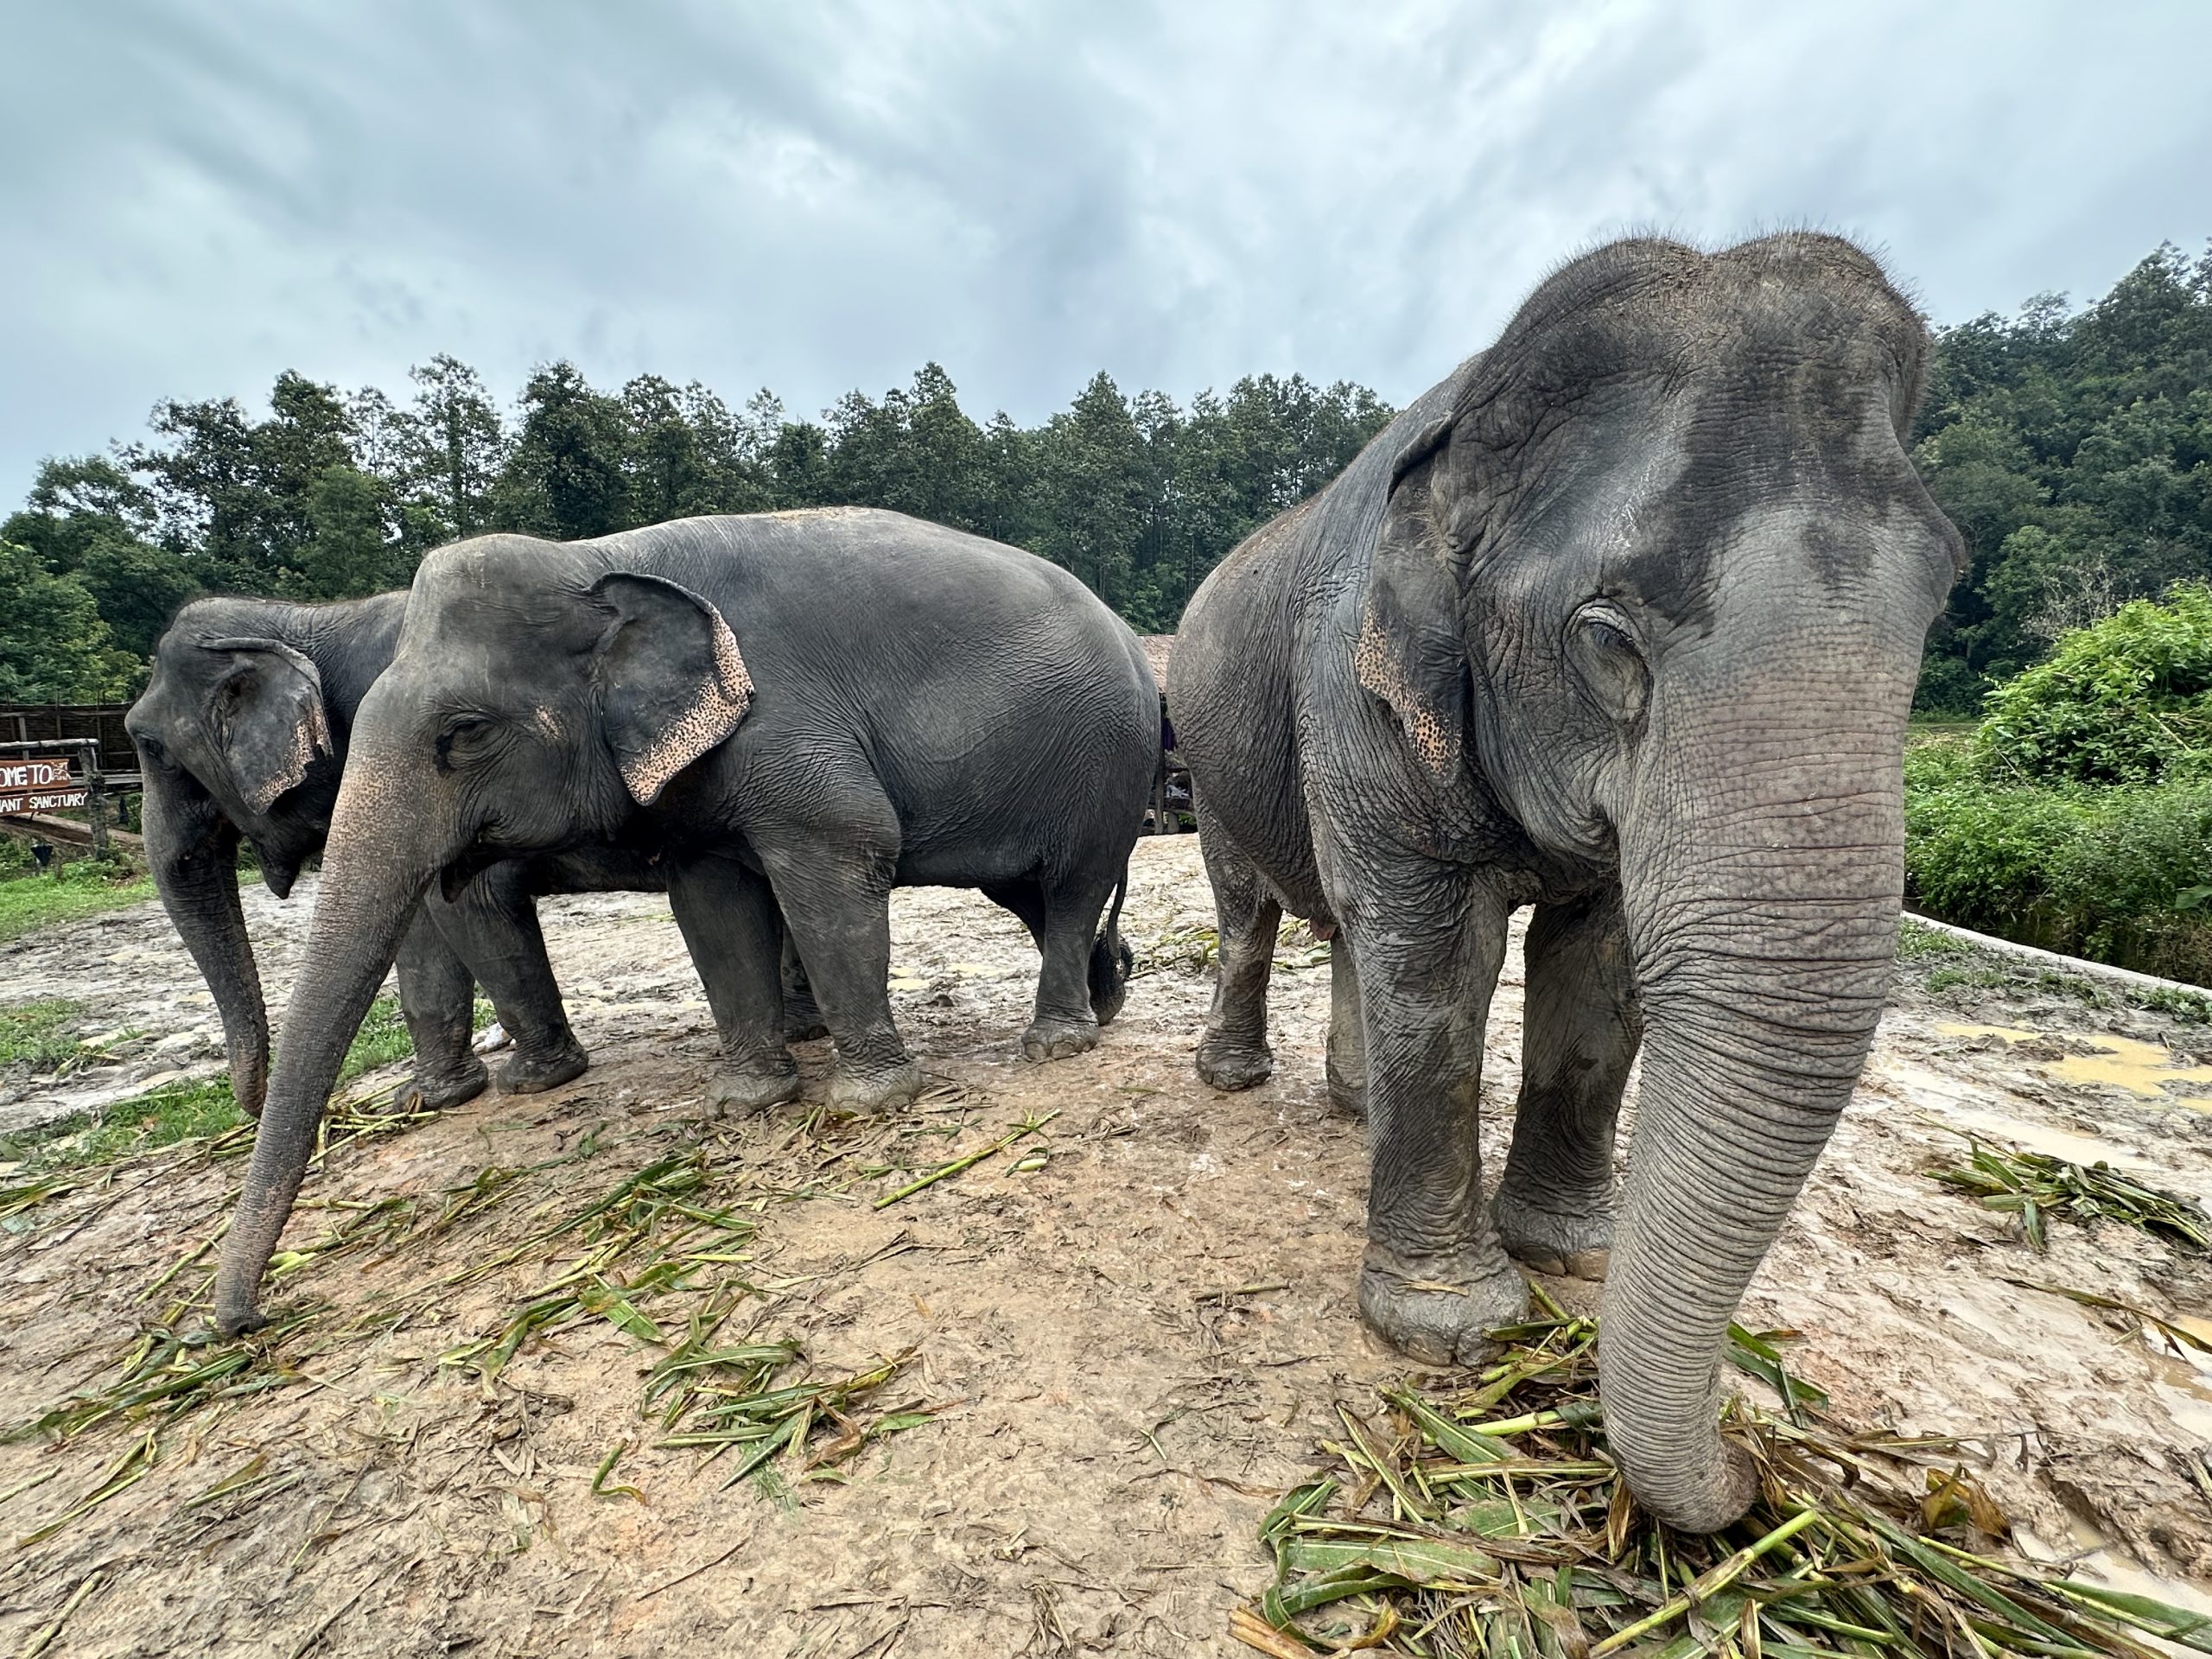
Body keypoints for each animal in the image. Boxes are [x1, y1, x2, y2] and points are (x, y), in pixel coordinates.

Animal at [126, 594, 827, 1119]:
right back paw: (803, 1030)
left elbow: (461, 910)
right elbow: (415, 931)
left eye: (150, 746)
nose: (252, 1104)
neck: (311, 620)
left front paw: (530, 1081)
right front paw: (427, 1099)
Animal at [213, 506, 1159, 1336]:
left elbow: (841, 861)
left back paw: (1056, 1045)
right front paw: (745, 1104)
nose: (236, 1325)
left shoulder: (788, 730)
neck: (598, 560)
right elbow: (712, 905)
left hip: (1104, 768)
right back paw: (1104, 995)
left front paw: (865, 1104)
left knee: (1069, 888)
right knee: (1032, 896)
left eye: (466, 731)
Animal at [1167, 235, 1965, 1533]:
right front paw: (1452, 1328)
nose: (1752, 1464)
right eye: (1604, 639)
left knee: (1348, 931)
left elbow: (1599, 962)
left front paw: (1572, 1256)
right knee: (1257, 917)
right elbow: (1442, 960)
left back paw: (1353, 1109)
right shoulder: (1353, 688)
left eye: (1945, 599)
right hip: (1208, 754)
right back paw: (1236, 1079)